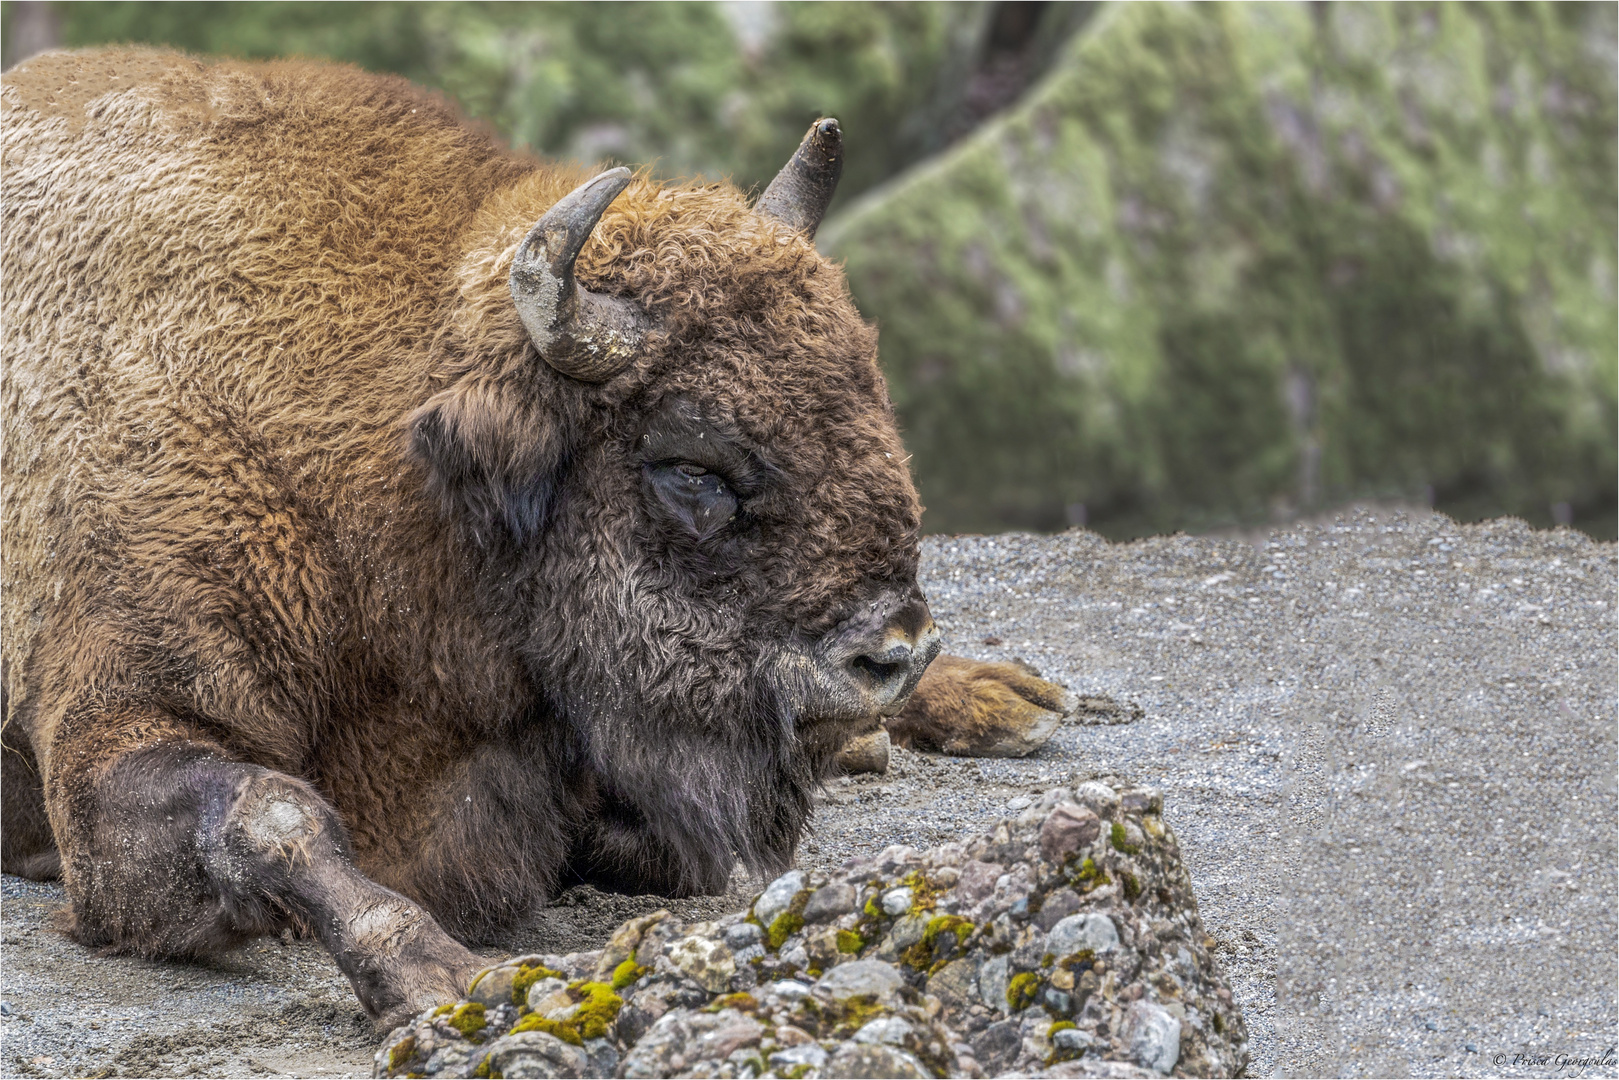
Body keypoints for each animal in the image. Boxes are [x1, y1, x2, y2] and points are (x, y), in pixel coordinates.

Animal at [0, 49, 1072, 1024]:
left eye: (872, 404)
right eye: (692, 466)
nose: (892, 653)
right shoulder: (117, 728)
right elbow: (272, 812)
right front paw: (442, 973)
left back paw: (1002, 698)